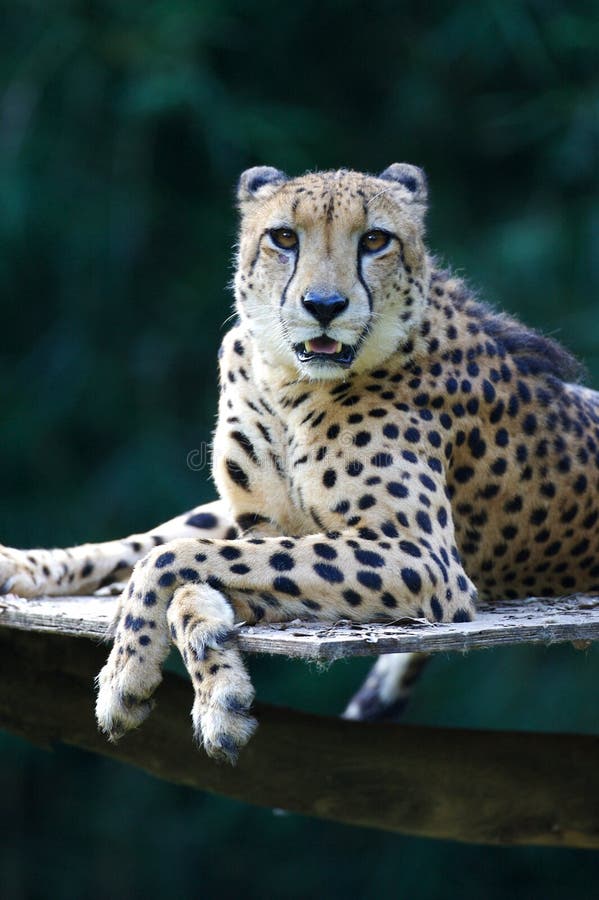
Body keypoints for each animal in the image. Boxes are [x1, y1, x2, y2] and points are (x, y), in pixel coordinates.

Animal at [2, 162, 598, 762]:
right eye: (284, 237)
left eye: (375, 240)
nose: (324, 306)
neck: (288, 382)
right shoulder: (263, 525)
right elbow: (186, 559)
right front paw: (199, 671)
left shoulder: (422, 556)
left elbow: (178, 565)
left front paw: (135, 671)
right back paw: (23, 566)